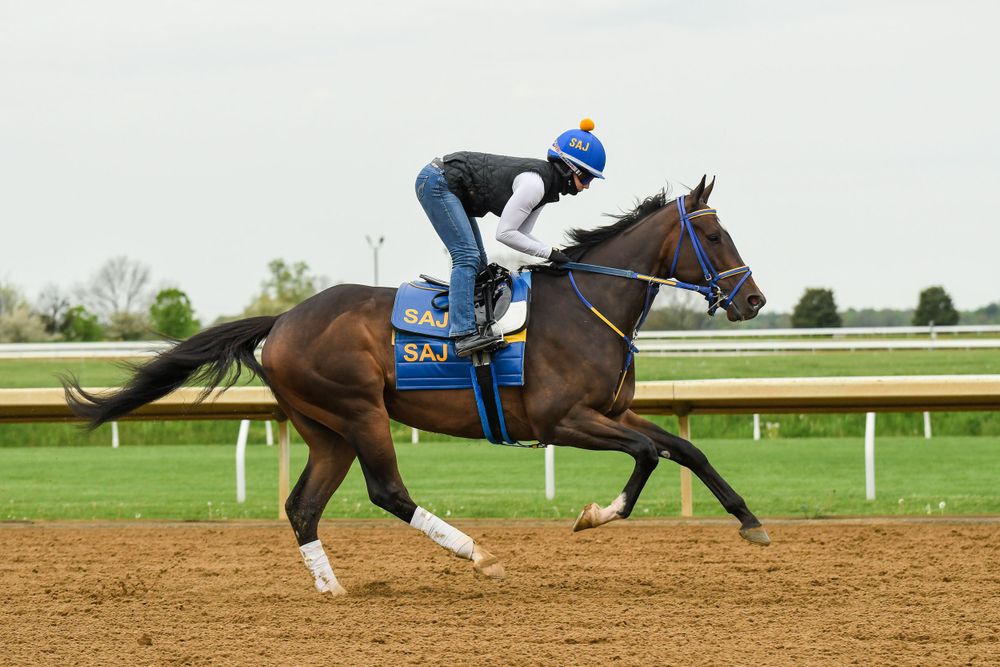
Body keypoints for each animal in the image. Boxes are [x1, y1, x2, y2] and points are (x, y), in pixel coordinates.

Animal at [63, 175, 770, 596]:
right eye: (713, 234)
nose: (754, 300)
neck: (588, 306)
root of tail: (283, 320)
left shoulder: (611, 412)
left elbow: (686, 448)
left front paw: (751, 522)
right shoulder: (561, 420)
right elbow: (649, 454)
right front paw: (597, 515)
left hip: (326, 431)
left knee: (302, 506)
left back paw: (332, 588)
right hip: (359, 412)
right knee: (386, 491)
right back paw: (476, 553)